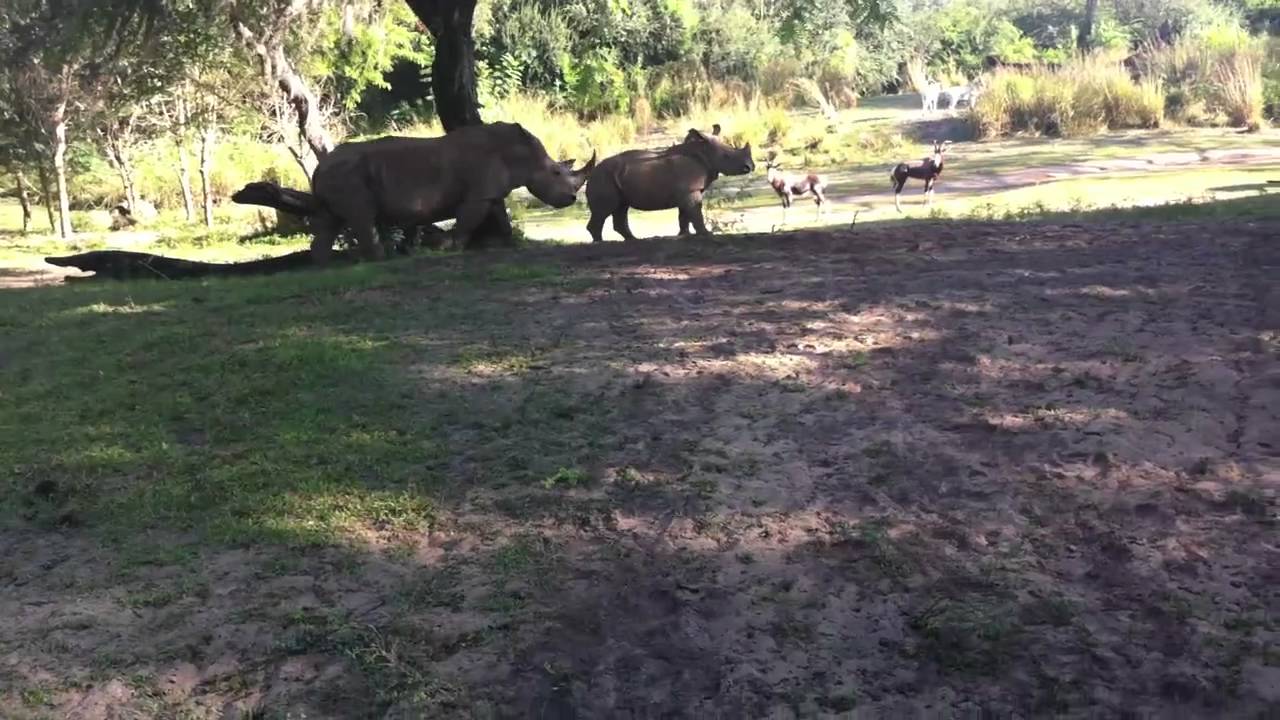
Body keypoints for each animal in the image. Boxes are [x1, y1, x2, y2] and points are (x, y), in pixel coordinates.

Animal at [297, 121, 595, 261]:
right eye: (556, 173)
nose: (571, 199)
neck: (518, 153)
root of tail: (318, 168)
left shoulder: (490, 191)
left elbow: (499, 215)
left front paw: (506, 241)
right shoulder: (478, 193)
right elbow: (467, 222)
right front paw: (454, 248)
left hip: (337, 175)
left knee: (330, 220)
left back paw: (324, 265)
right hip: (347, 175)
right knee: (362, 217)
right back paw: (382, 259)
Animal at [584, 124, 754, 243]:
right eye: (726, 156)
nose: (750, 167)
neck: (703, 152)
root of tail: (591, 173)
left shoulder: (688, 191)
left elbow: (685, 215)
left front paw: (684, 235)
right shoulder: (690, 190)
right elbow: (696, 213)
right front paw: (706, 234)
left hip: (613, 178)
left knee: (621, 207)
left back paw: (633, 240)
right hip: (602, 178)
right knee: (605, 210)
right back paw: (600, 242)